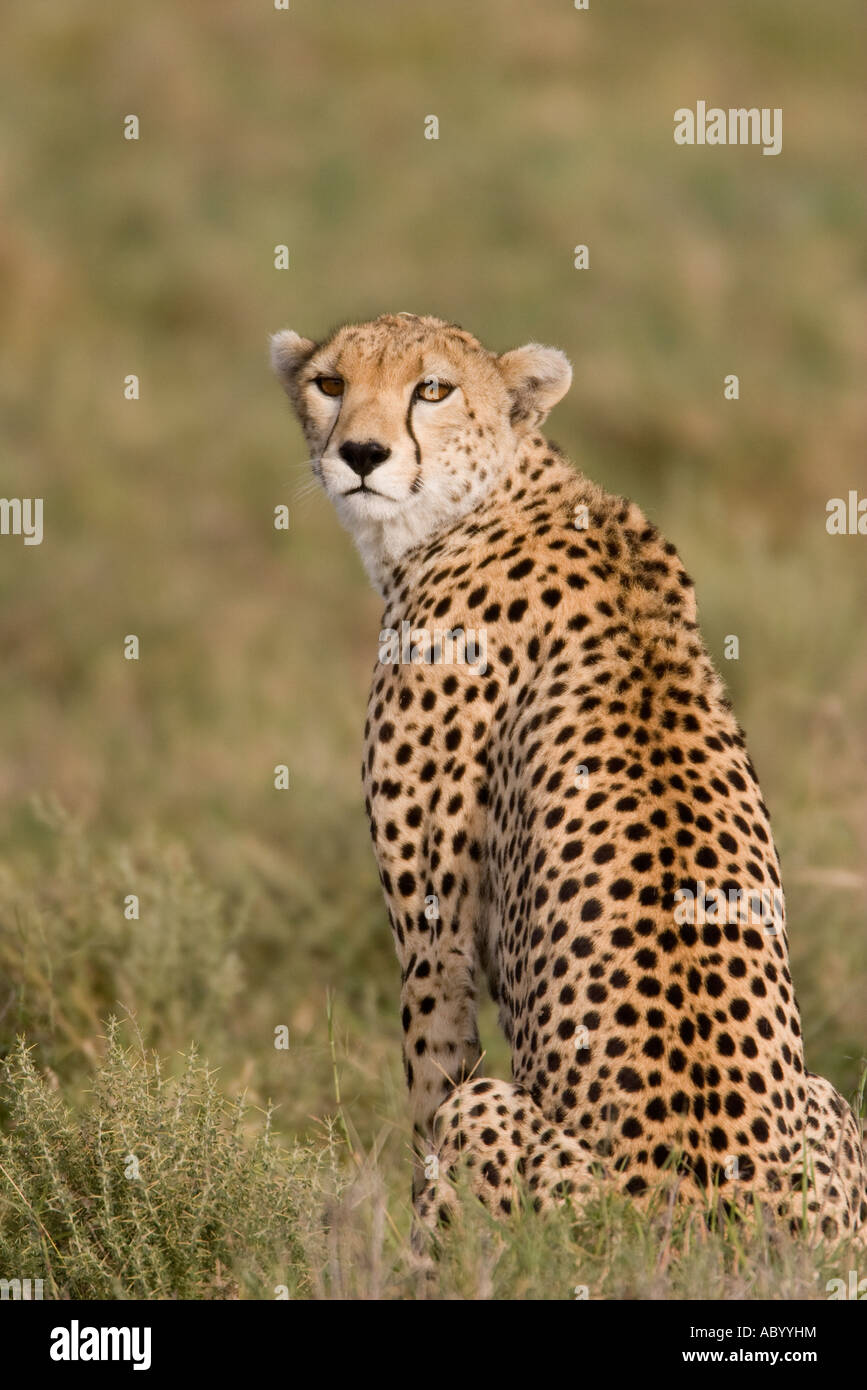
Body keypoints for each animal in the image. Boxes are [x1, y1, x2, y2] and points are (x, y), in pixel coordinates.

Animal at [271, 311, 867, 1244]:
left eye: (431, 389)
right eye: (329, 383)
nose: (361, 454)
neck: (490, 495)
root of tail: (718, 1228)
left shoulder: (433, 935)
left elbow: (427, 1088)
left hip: (499, 1120)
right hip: (828, 1097)